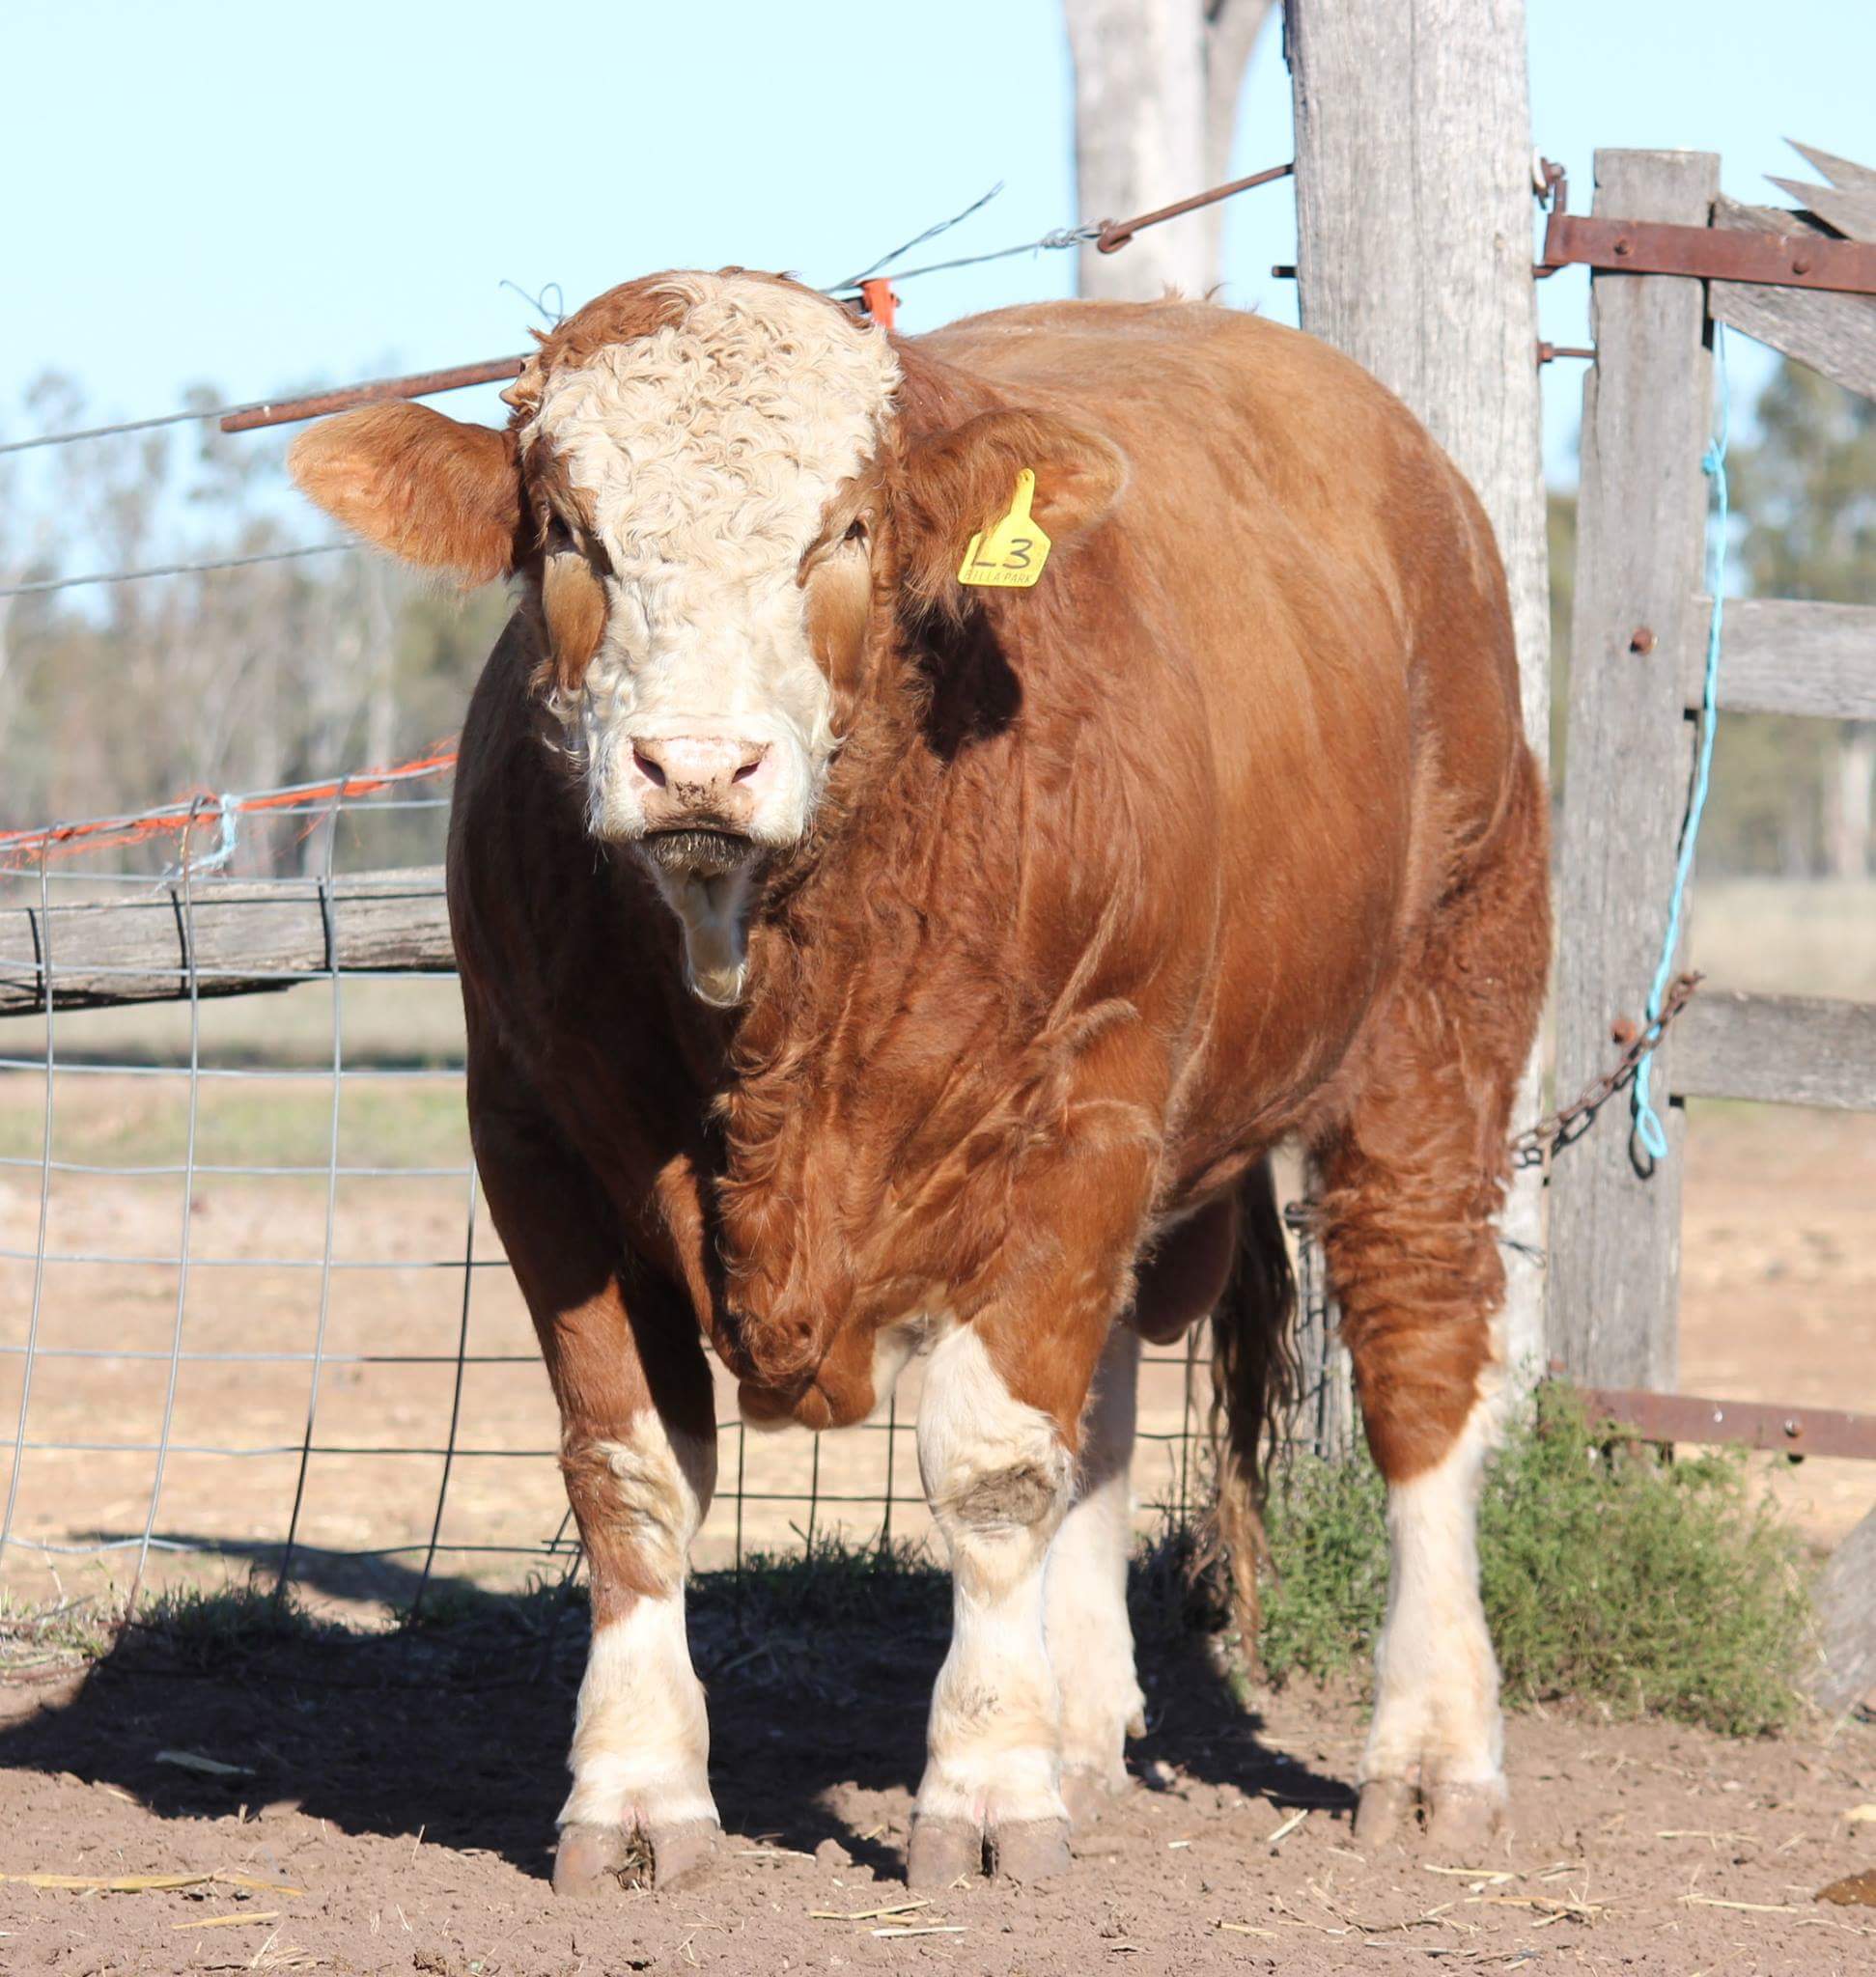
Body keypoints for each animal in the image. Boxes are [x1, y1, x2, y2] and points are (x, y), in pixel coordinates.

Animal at [288, 269, 1549, 1895]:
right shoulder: (533, 1131)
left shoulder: (1083, 1103)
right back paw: (1083, 1718)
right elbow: (628, 1474)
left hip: (1436, 1018)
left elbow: (994, 1465)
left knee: (1415, 1352)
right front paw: (634, 1791)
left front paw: (987, 1787)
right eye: (568, 529)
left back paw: (1433, 1746)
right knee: (1110, 1390)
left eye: (844, 530)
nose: (696, 764)